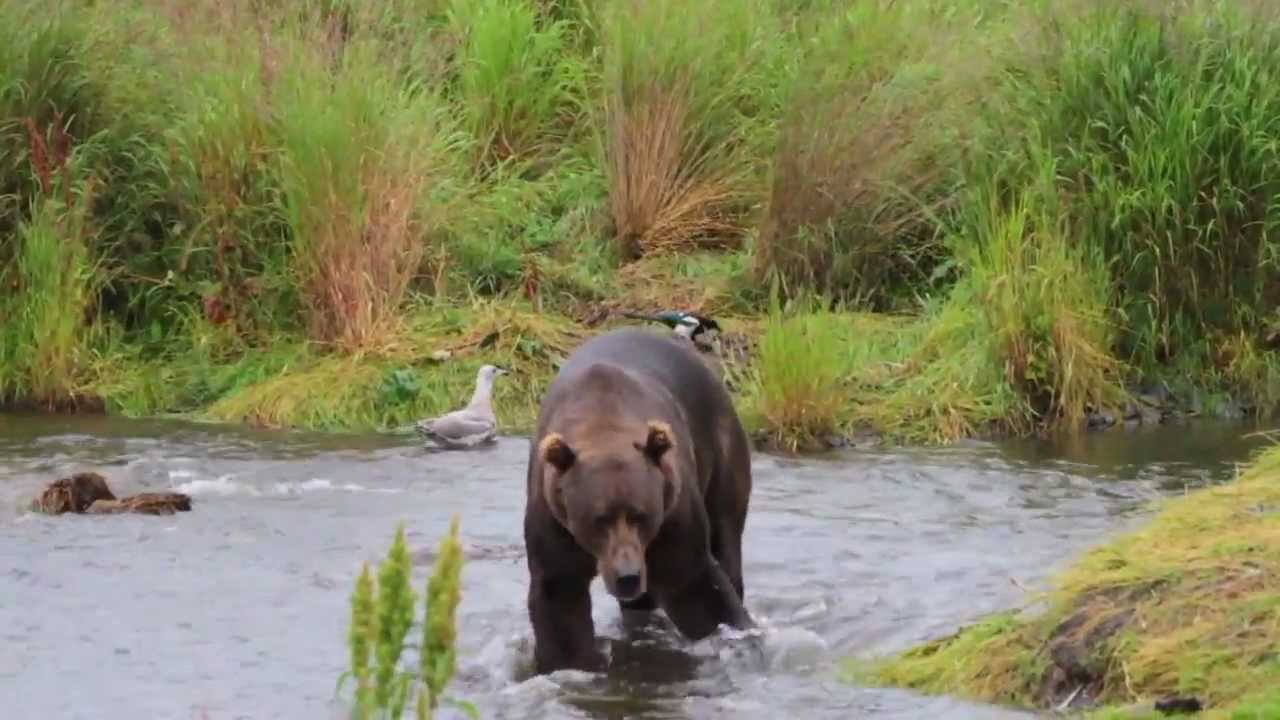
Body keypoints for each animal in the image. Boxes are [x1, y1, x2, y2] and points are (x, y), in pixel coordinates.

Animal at [522, 327, 754, 675]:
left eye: (641, 515)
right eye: (599, 519)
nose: (628, 576)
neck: (602, 423)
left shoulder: (674, 516)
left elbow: (695, 586)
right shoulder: (553, 521)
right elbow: (560, 602)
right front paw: (569, 664)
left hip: (720, 450)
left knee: (726, 536)